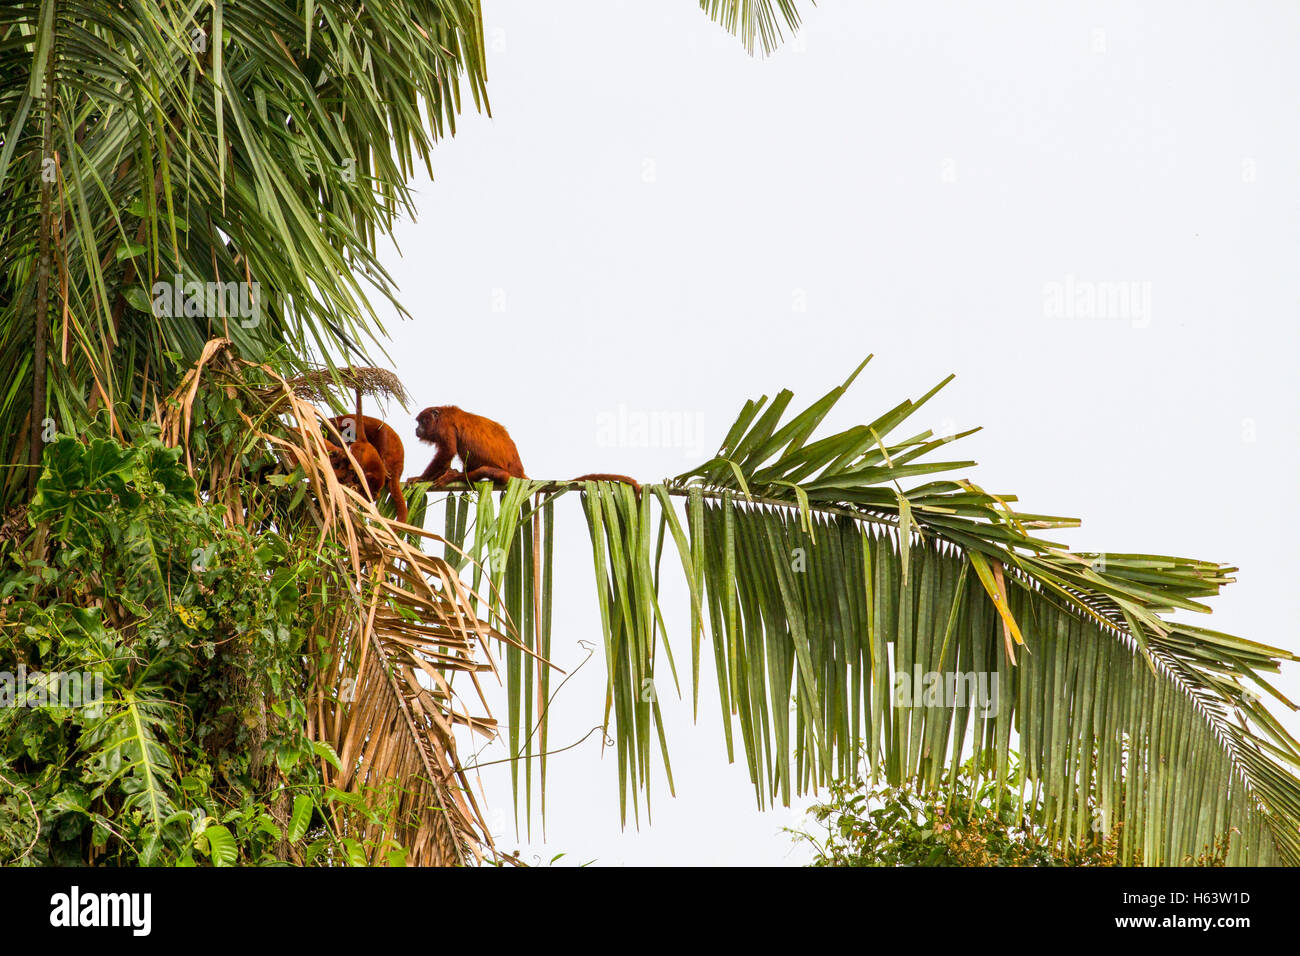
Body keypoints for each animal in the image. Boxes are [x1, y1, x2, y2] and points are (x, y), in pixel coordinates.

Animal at [406, 405, 641, 495]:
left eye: (422, 422)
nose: (416, 429)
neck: (442, 415)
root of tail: (519, 470)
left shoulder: (445, 428)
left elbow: (446, 452)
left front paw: (420, 478)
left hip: (506, 474)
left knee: (492, 473)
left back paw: (458, 476)